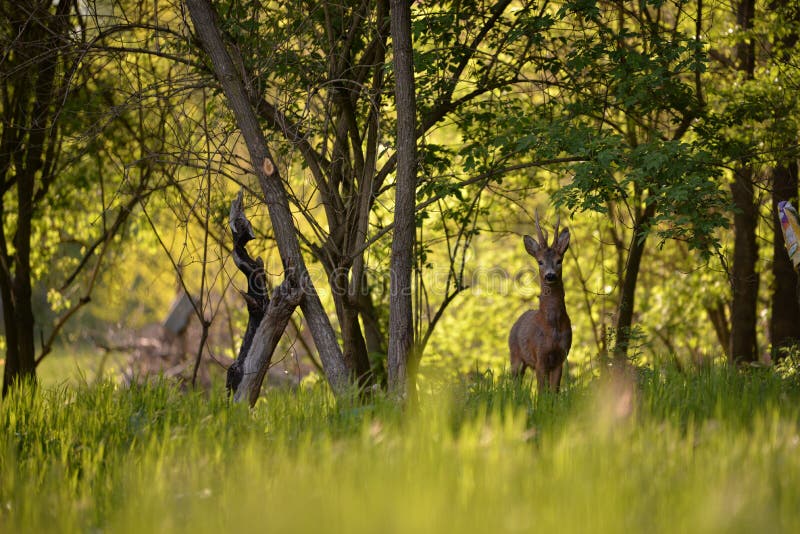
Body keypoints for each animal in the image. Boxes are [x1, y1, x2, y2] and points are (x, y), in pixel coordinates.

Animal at [508, 211, 572, 393]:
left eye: (559, 260)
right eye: (540, 261)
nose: (550, 275)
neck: (552, 326)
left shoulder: (561, 356)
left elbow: (554, 391)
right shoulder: (539, 357)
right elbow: (542, 392)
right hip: (515, 355)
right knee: (514, 384)